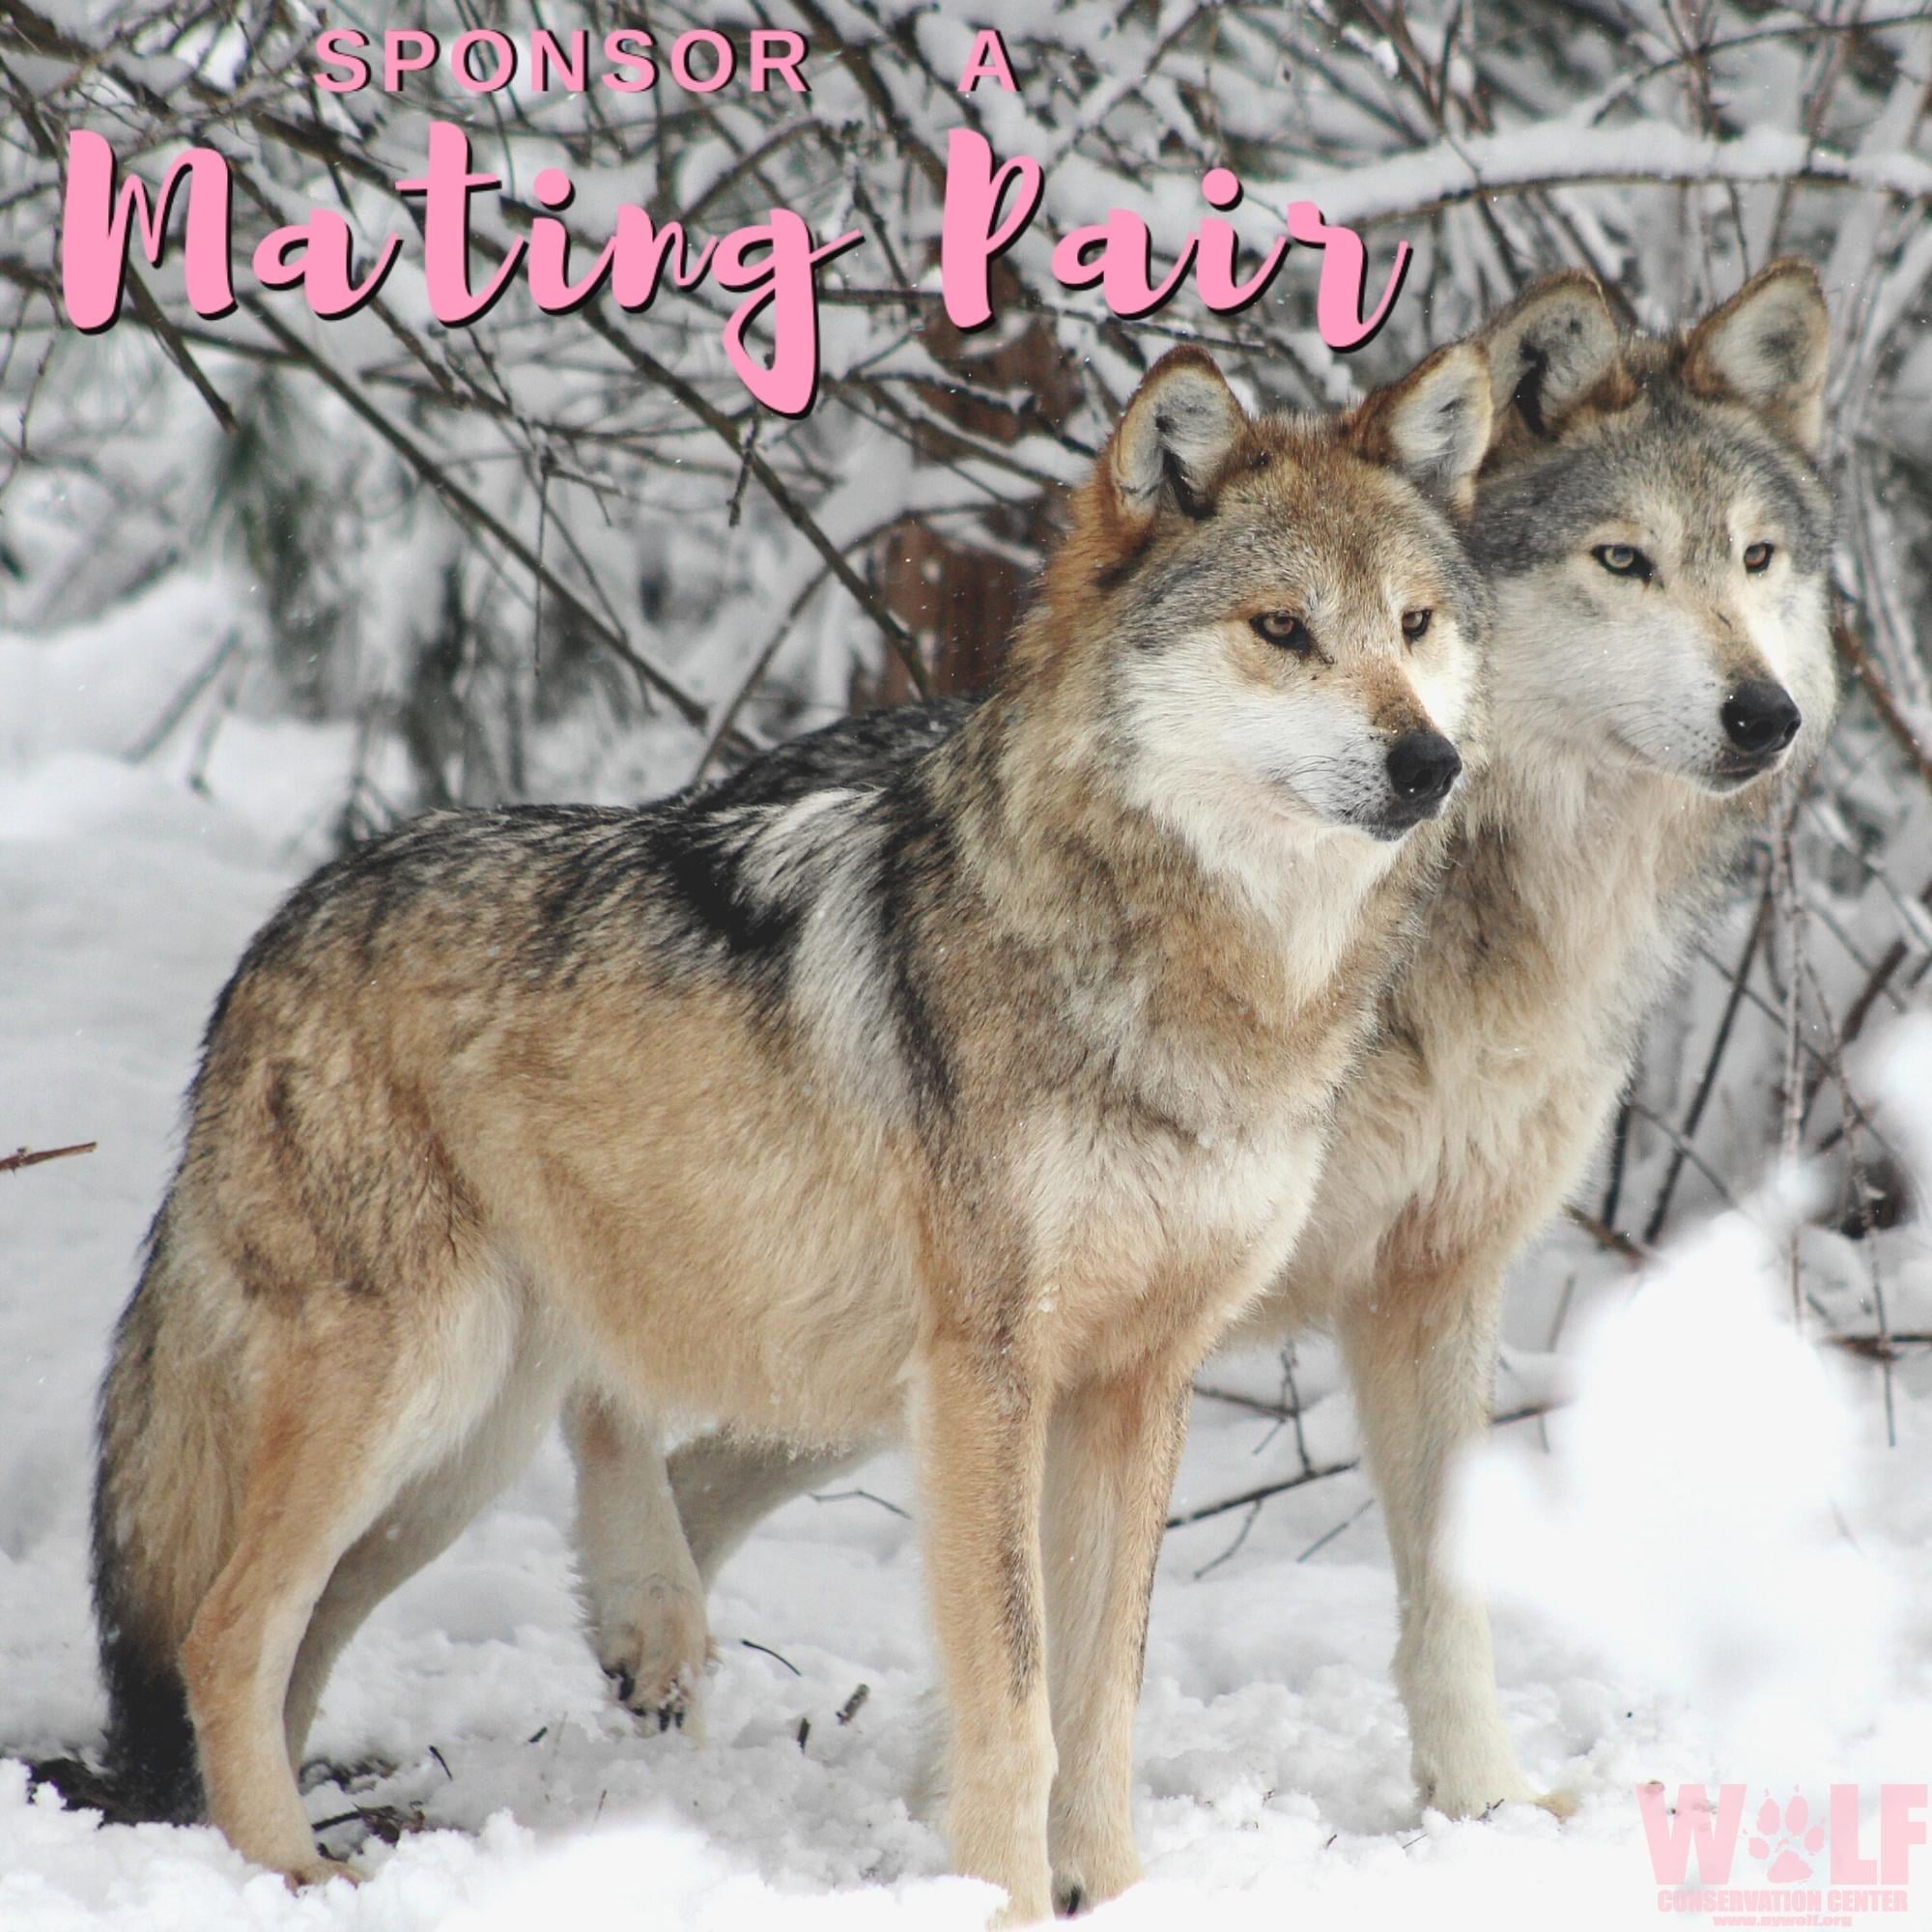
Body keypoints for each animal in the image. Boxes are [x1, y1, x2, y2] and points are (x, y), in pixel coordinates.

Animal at [89, 341, 1493, 1920]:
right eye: (1282, 630)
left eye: (1414, 625)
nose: (1429, 761)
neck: (1200, 989)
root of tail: (283, 928)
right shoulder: (986, 1379)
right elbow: (1016, 1698)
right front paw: (1006, 1898)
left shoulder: (1137, 1382)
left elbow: (1103, 1701)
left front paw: (1116, 1891)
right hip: (402, 1389)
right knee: (220, 1631)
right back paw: (286, 1871)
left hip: (462, 1442)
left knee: (305, 1627)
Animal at [591, 261, 1839, 1832]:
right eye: (1623, 561)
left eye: (1754, 559)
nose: (1764, 713)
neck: (1478, 916)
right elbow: (1037, 1623)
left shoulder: (1433, 1280)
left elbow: (1447, 1589)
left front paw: (1481, 1799)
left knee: (686, 1461)